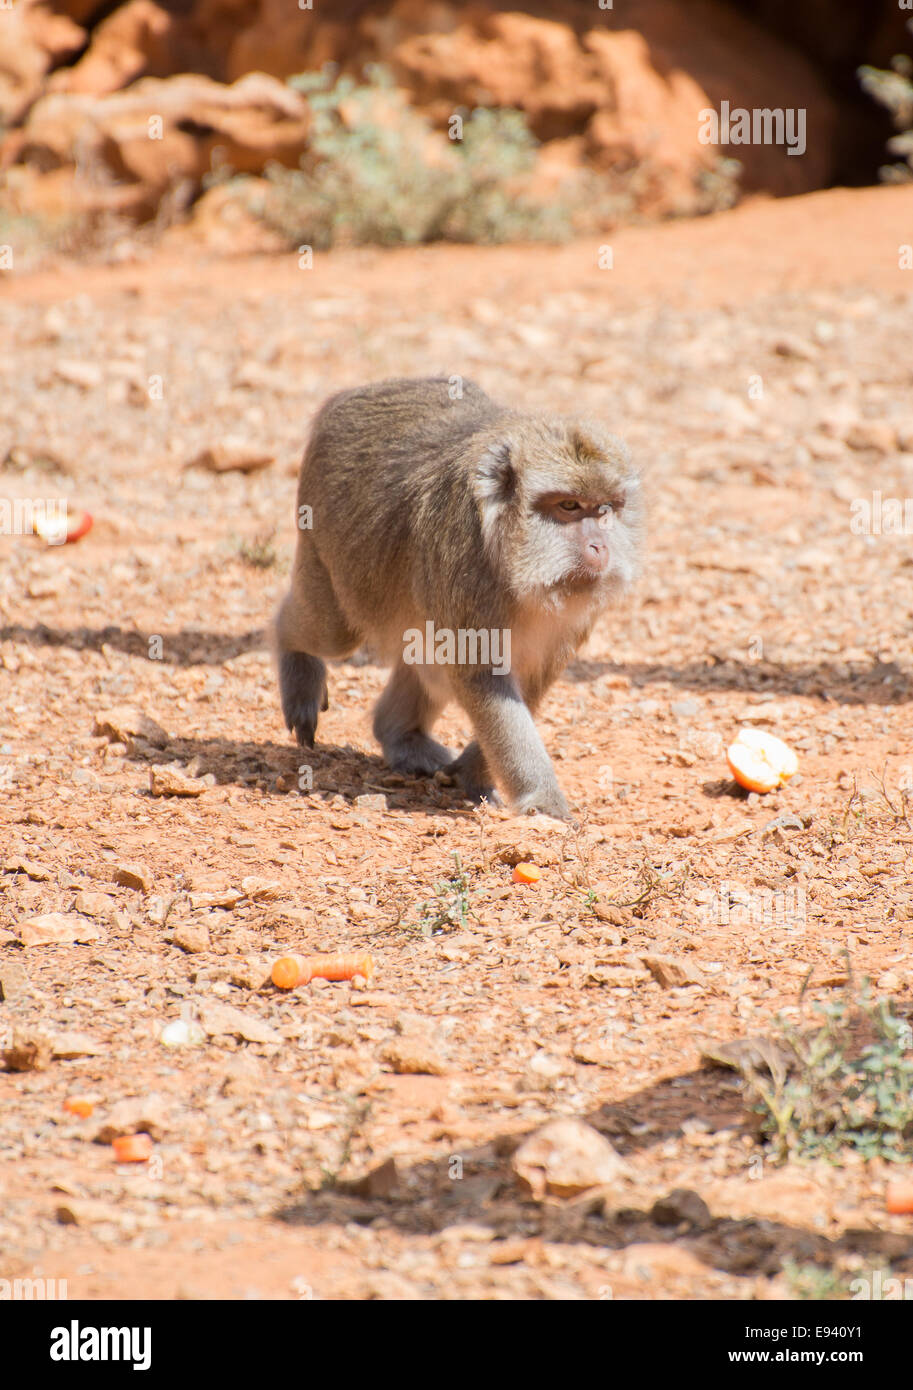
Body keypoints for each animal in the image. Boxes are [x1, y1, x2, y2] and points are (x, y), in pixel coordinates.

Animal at [274, 377, 643, 819]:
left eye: (604, 510)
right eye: (569, 506)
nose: (599, 548)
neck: (513, 563)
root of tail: (354, 394)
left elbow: (532, 678)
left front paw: (472, 772)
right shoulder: (466, 562)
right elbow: (480, 676)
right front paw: (542, 799)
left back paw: (400, 735)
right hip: (326, 535)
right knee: (333, 633)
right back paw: (294, 661)